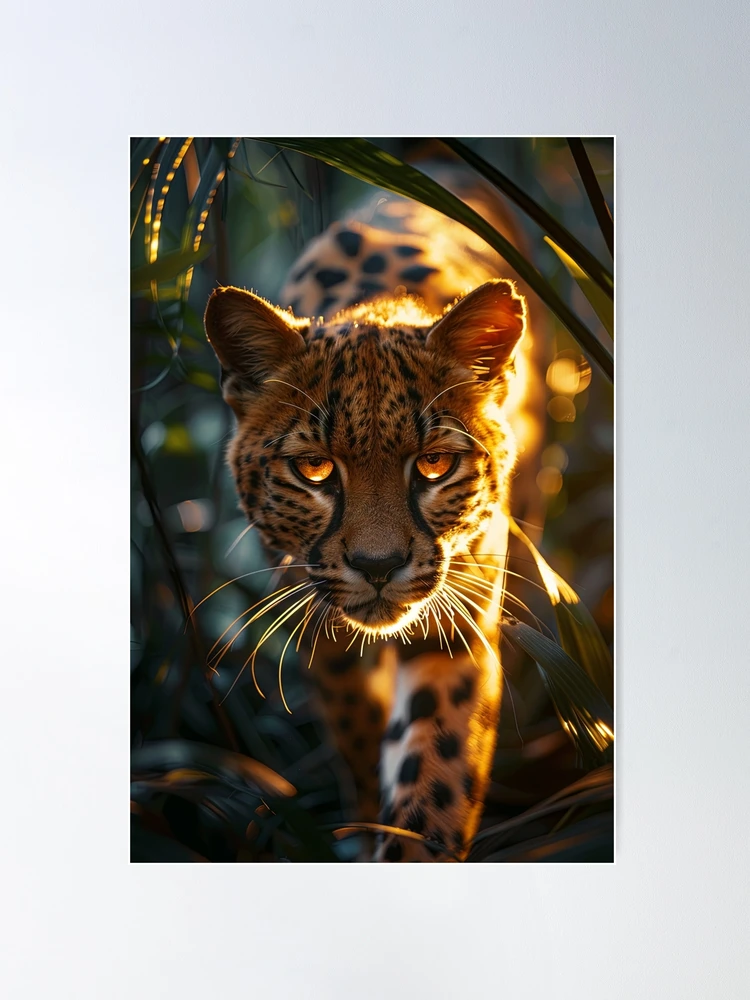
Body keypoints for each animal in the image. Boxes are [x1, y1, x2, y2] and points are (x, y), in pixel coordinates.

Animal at [203, 163, 545, 861]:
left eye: (434, 465)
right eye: (314, 470)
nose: (378, 566)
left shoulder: (458, 632)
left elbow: (435, 772)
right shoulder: (318, 628)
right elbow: (358, 738)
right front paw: (363, 826)